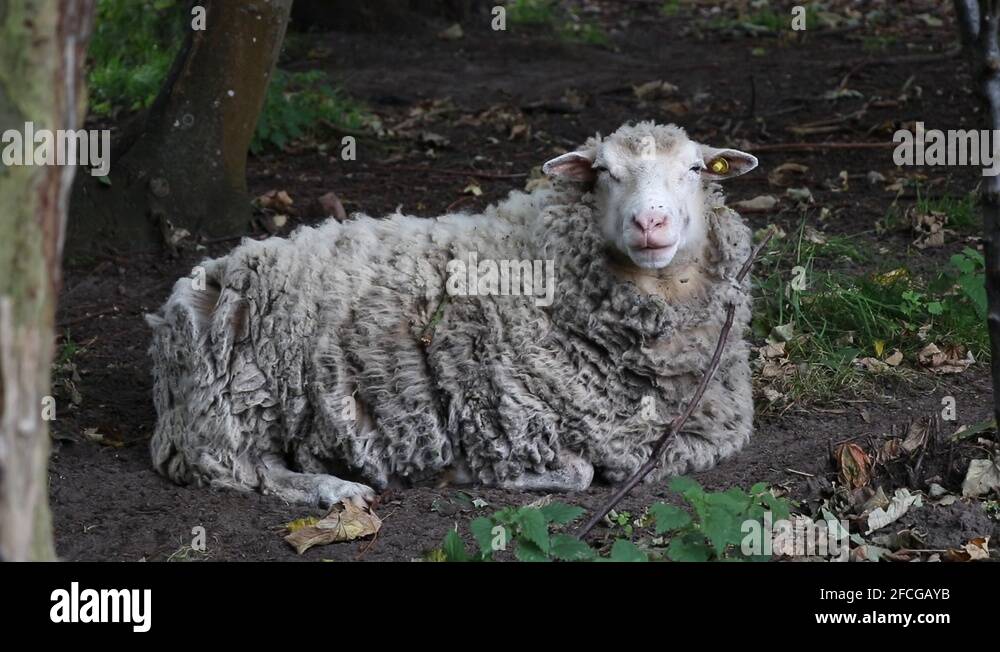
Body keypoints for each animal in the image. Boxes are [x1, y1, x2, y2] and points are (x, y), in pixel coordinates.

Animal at [146, 121, 759, 507]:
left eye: (696, 169)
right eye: (604, 172)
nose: (650, 223)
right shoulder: (509, 414)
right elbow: (581, 472)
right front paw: (471, 472)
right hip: (232, 408)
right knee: (253, 471)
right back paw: (336, 491)